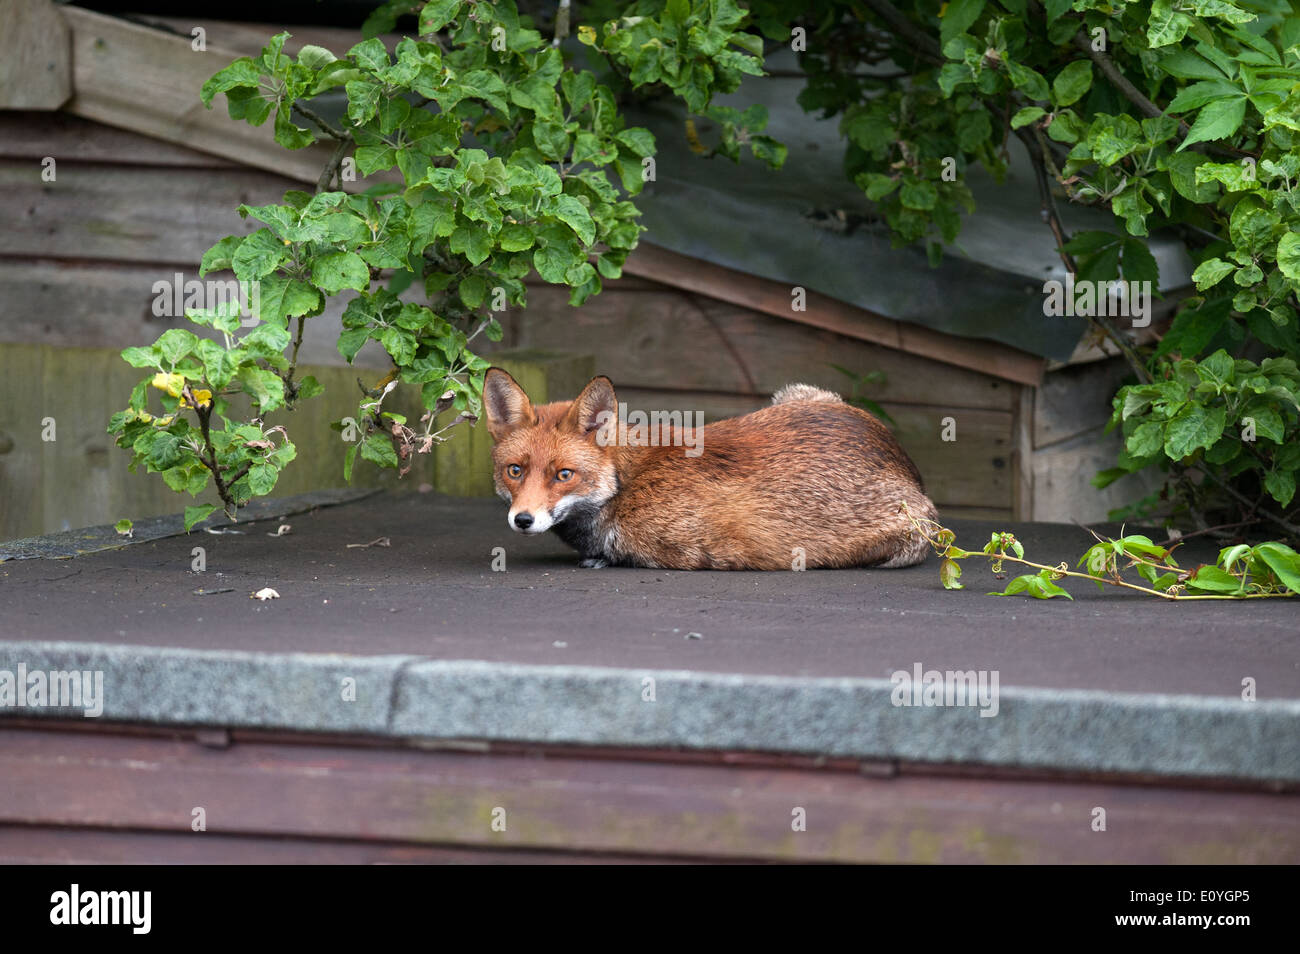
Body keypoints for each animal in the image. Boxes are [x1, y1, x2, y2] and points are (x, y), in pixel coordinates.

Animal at [482, 368, 939, 570]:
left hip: (911, 535)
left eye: (564, 475)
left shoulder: (703, 548)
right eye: (515, 471)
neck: (627, 485)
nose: (523, 519)